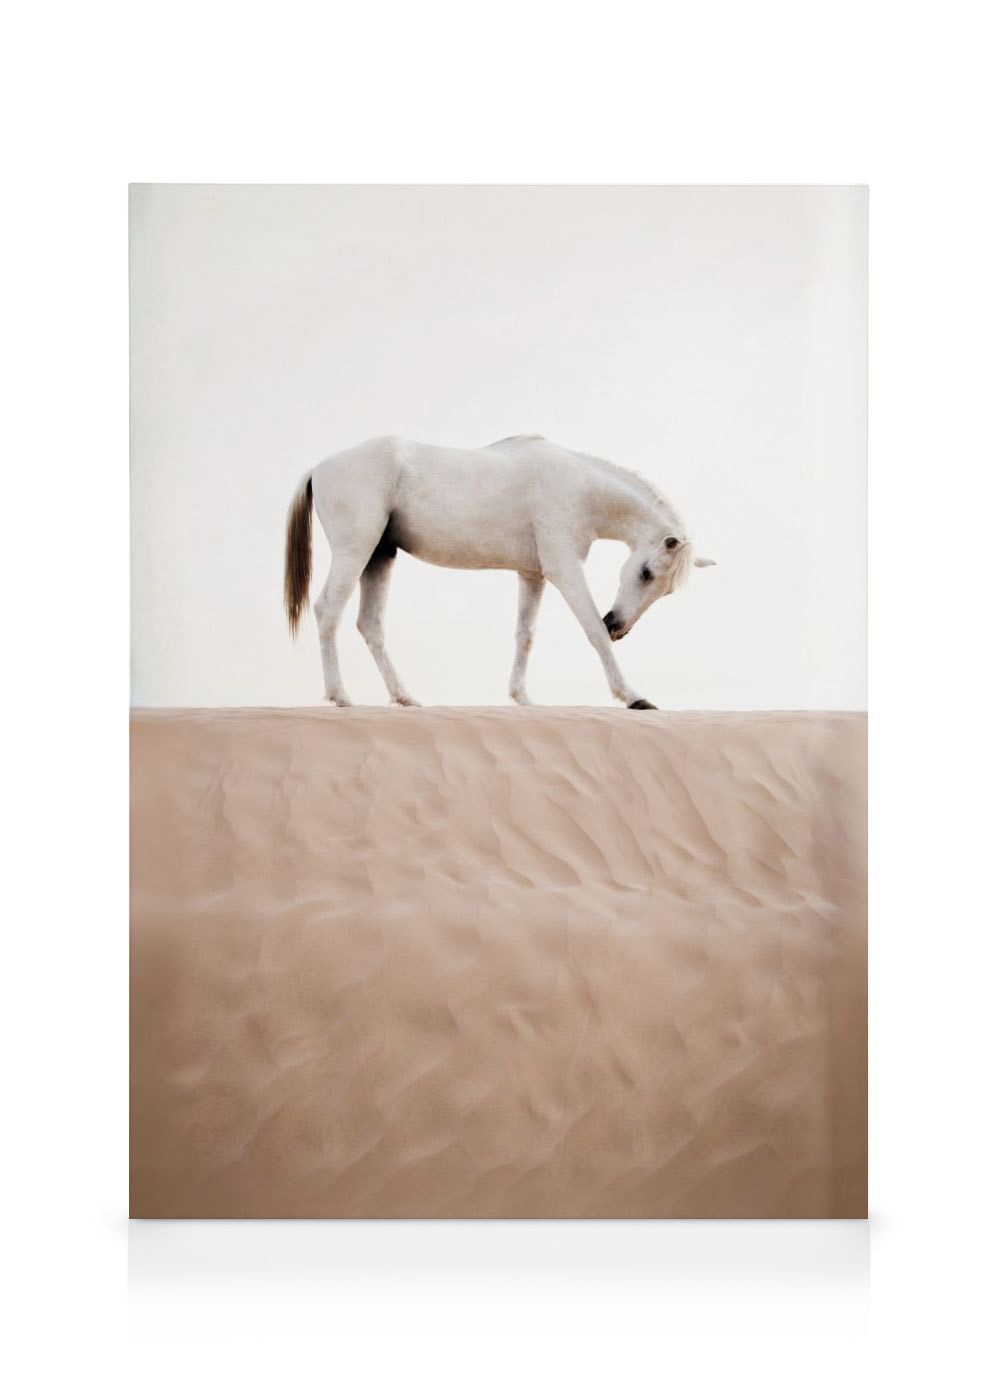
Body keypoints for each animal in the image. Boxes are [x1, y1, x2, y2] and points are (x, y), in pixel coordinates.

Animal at [284, 434, 715, 709]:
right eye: (645, 572)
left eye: (665, 589)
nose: (618, 626)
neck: (578, 488)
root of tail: (319, 467)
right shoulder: (564, 569)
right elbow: (590, 630)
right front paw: (633, 696)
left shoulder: (533, 575)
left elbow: (525, 635)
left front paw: (521, 697)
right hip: (355, 552)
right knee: (328, 611)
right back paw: (340, 696)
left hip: (379, 556)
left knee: (370, 625)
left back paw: (404, 698)